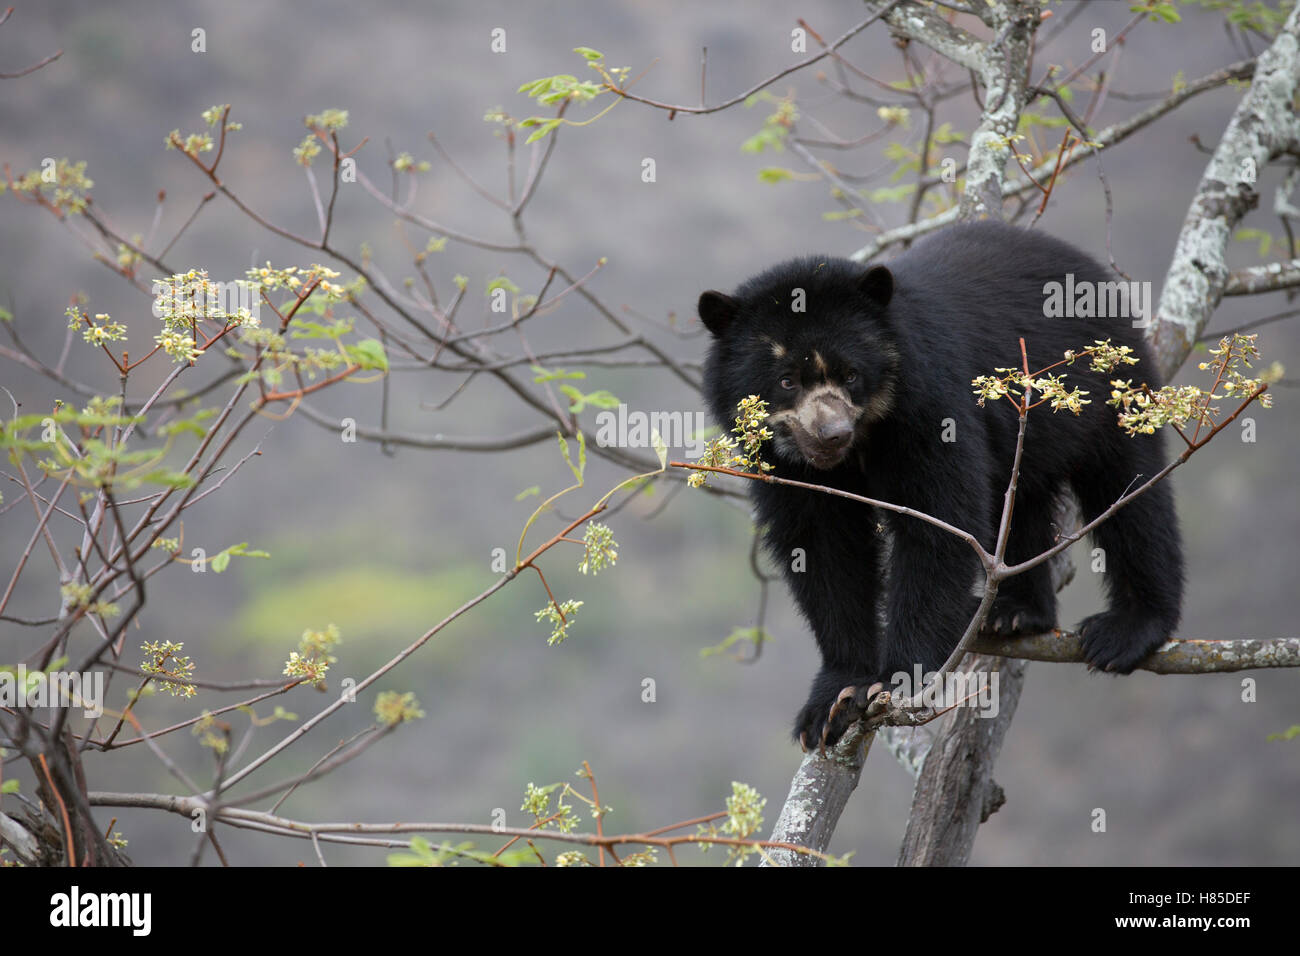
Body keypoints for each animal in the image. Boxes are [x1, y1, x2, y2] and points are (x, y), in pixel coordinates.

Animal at [697, 220, 1184, 748]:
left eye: (852, 374)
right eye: (786, 381)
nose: (832, 435)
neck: (864, 440)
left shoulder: (930, 404)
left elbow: (939, 520)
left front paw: (892, 680)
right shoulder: (784, 464)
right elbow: (821, 545)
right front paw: (830, 701)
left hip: (1112, 387)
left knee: (1131, 495)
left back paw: (1124, 631)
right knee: (1021, 504)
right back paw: (1011, 610)